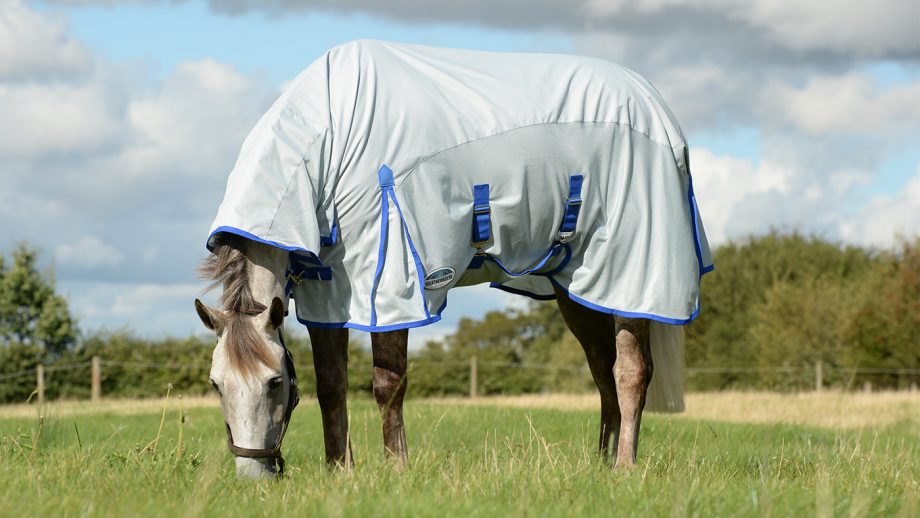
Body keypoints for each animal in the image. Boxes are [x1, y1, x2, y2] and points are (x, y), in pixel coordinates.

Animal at [194, 40, 712, 478]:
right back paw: (601, 465)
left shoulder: (395, 281)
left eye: (274, 382)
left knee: (631, 372)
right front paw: (340, 471)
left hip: (635, 274)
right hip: (580, 289)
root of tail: (655, 106)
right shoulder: (329, 292)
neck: (327, 145)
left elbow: (387, 384)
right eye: (217, 385)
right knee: (603, 372)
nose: (253, 475)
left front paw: (396, 470)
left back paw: (624, 467)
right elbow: (330, 386)